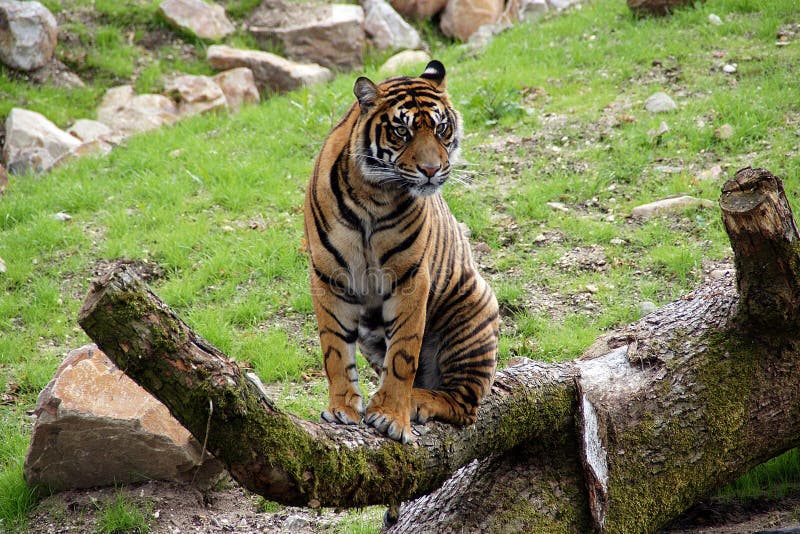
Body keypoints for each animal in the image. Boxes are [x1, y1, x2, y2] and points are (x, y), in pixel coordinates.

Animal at [303, 60, 499, 444]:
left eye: (441, 128)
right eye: (401, 132)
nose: (431, 170)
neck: (373, 195)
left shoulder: (410, 279)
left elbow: (403, 356)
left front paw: (392, 416)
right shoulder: (328, 277)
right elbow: (334, 351)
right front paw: (342, 409)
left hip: (473, 311)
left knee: (463, 404)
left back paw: (417, 401)